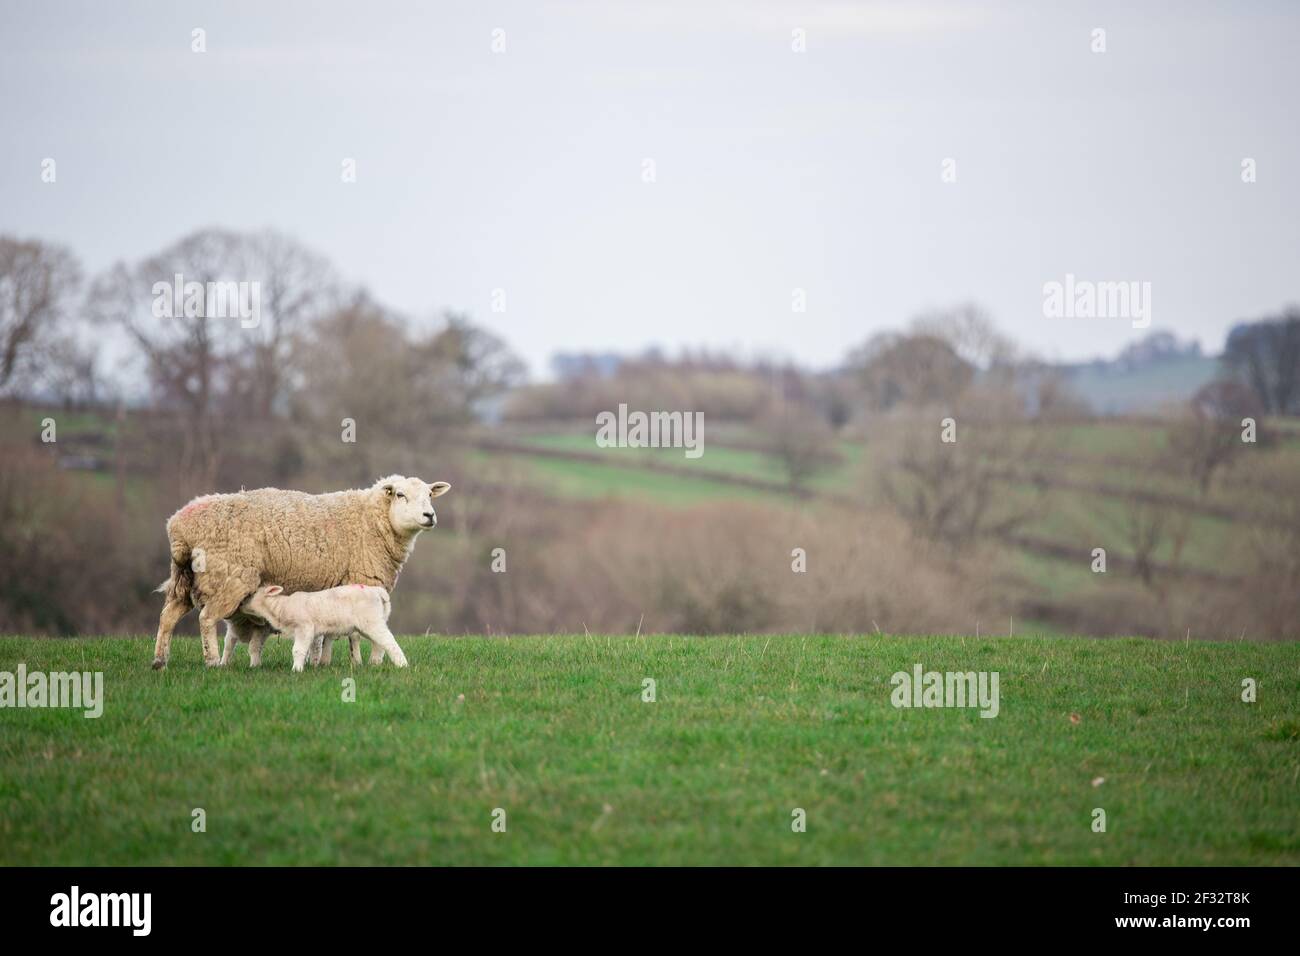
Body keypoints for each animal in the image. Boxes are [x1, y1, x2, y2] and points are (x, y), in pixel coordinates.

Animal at [233, 583, 404, 671]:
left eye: (251, 594)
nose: (239, 604)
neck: (282, 607)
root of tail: (378, 591)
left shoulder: (304, 627)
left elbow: (298, 650)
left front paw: (296, 670)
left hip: (371, 621)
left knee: (389, 641)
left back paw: (402, 665)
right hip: (372, 622)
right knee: (380, 644)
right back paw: (375, 663)